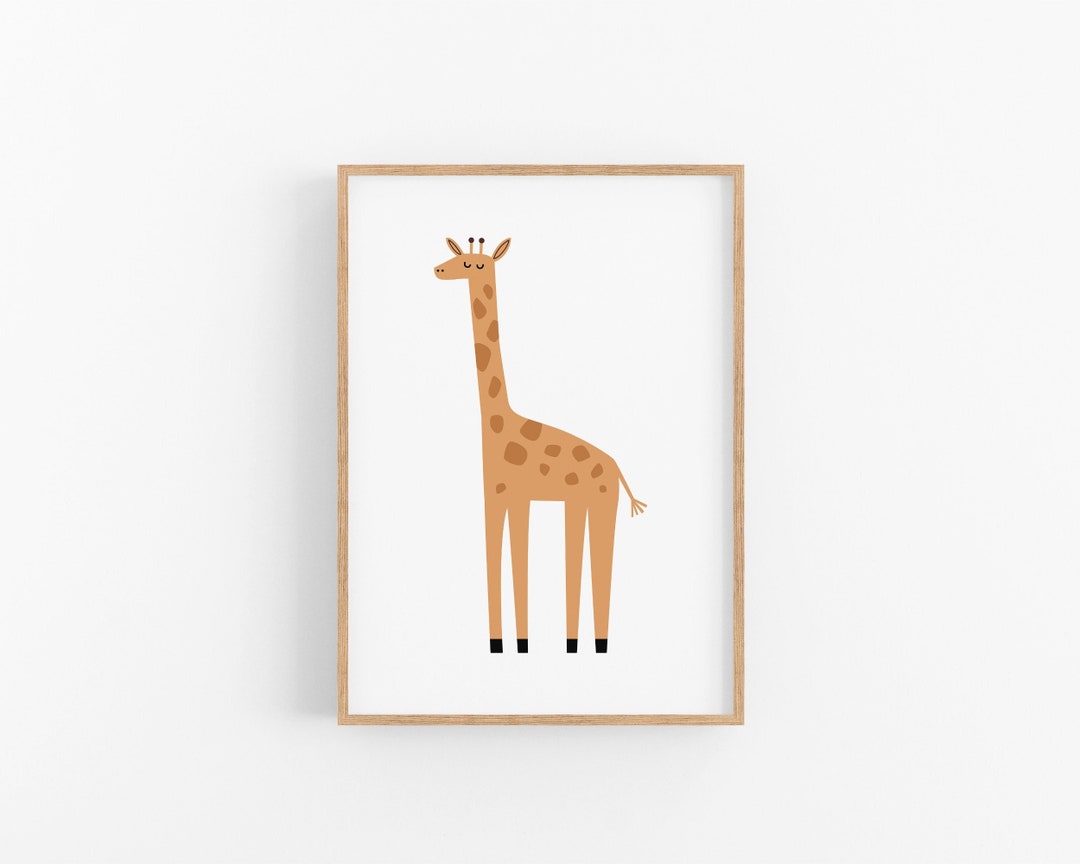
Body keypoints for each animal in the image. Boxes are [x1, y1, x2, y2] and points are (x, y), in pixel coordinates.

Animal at [434, 235, 646, 654]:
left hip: (600, 503)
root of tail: (617, 470)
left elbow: (509, 560)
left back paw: (594, 644)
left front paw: (509, 643)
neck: (498, 423)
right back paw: (576, 643)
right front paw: (512, 642)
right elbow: (510, 560)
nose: (437, 269)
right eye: (459, 258)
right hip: (581, 502)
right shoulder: (506, 497)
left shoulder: (507, 495)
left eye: (474, 264)